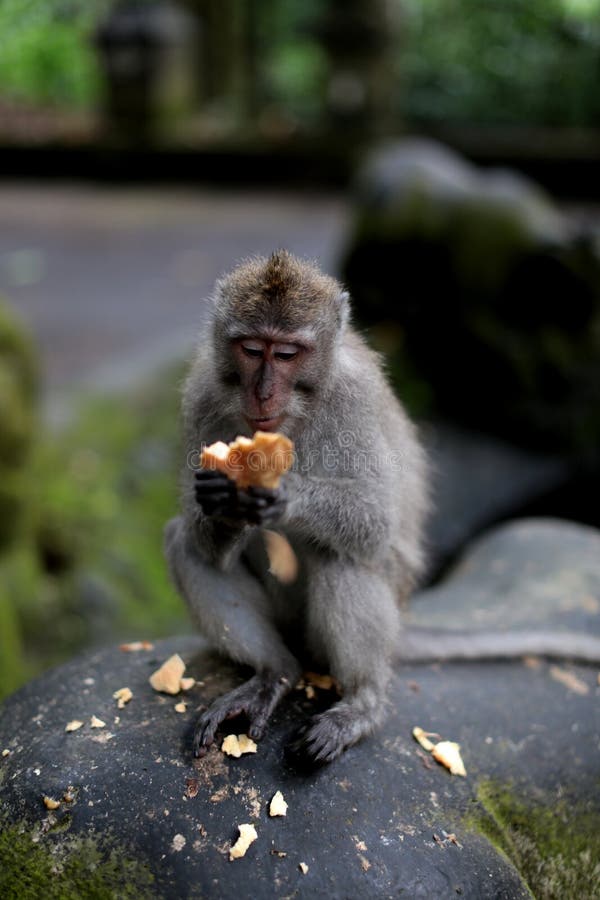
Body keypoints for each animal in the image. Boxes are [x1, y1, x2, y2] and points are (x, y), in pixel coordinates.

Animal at [164, 250, 600, 766]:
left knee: (342, 556)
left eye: (288, 353)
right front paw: (226, 497)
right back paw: (274, 671)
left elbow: (375, 525)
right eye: (251, 349)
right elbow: (202, 539)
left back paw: (363, 703)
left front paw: (284, 490)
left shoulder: (352, 401)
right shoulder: (203, 394)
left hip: (376, 601)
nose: (263, 391)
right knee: (185, 544)